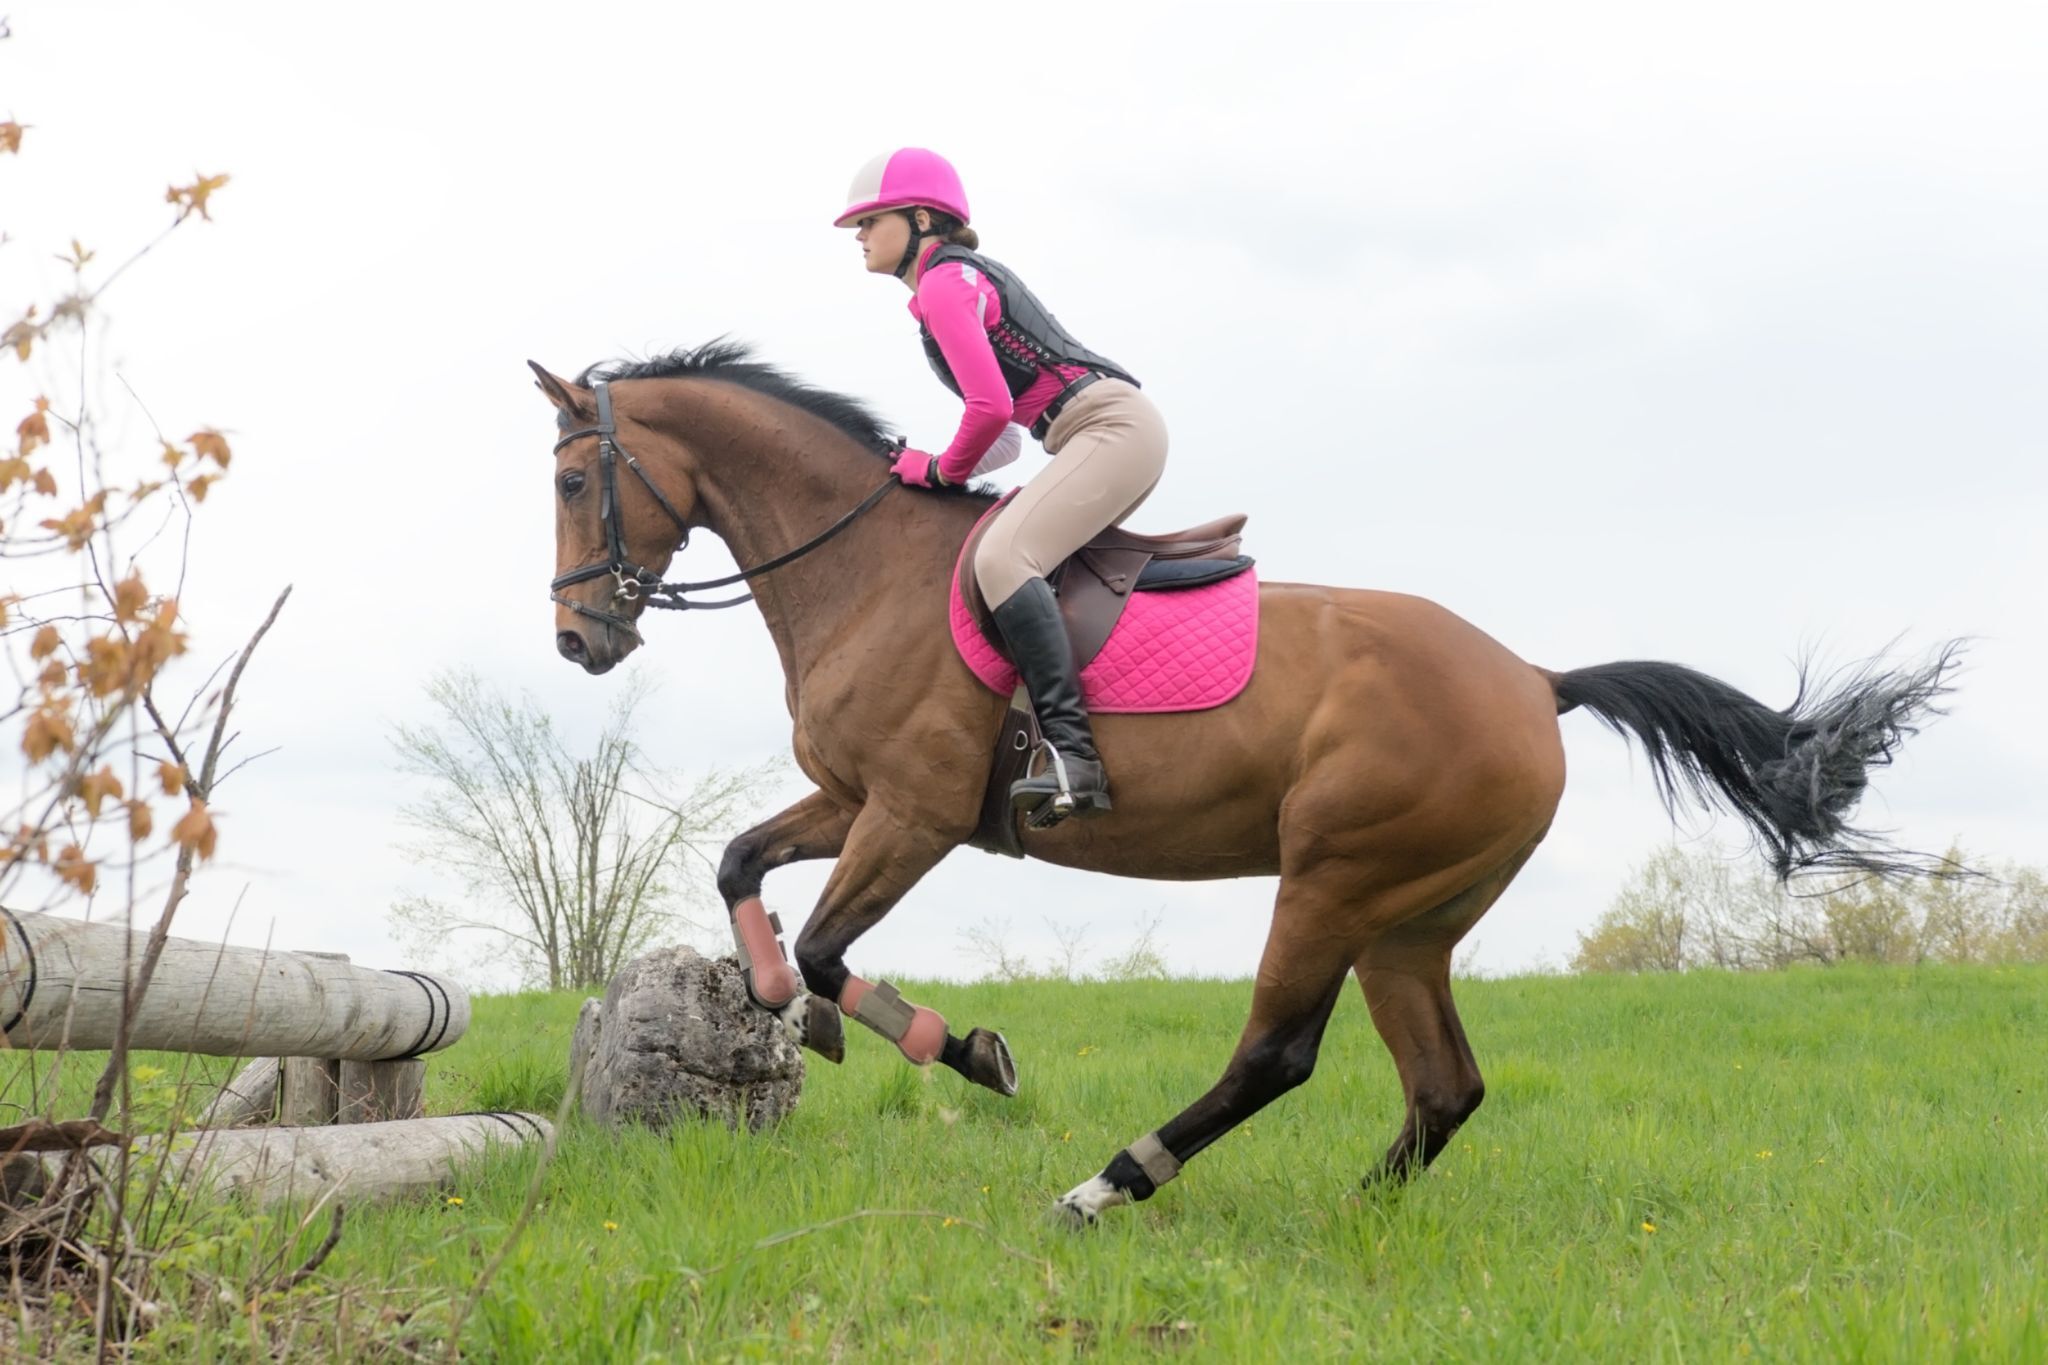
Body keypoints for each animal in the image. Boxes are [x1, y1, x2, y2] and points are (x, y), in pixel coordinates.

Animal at [532, 342, 1957, 1226]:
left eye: (568, 477)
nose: (576, 642)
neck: (862, 567)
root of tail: (1533, 679)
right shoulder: (850, 799)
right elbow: (739, 867)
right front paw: (786, 1007)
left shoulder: (916, 816)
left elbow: (832, 951)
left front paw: (964, 1051)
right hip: (1411, 919)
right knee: (1441, 1085)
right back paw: (1354, 1215)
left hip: (1332, 878)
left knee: (1275, 1053)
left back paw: (1106, 1187)